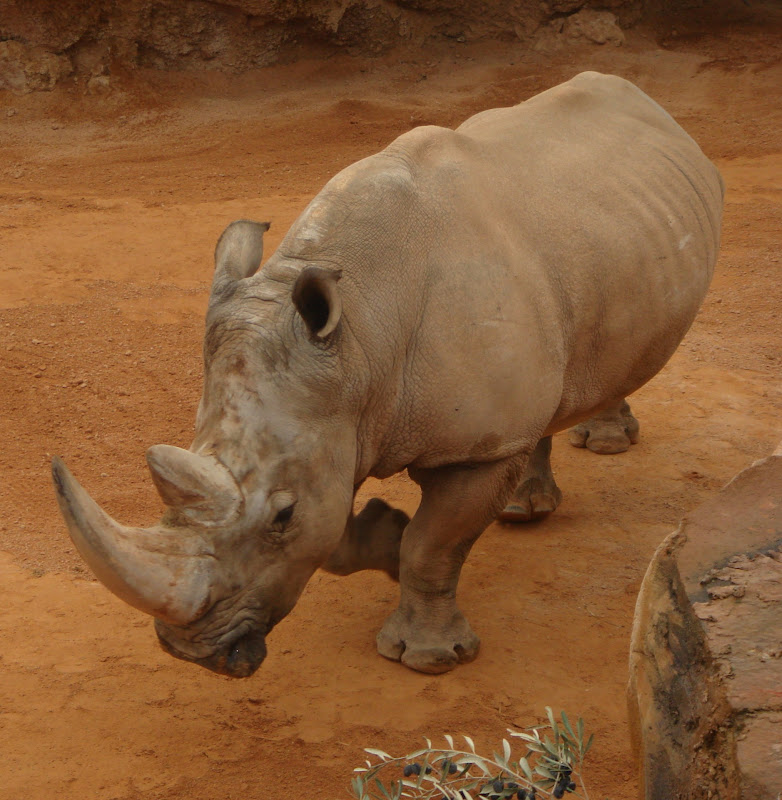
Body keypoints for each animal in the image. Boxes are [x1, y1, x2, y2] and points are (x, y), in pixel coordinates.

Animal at [52, 72, 724, 676]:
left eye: (281, 518)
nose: (189, 654)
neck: (361, 339)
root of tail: (648, 101)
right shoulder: (335, 416)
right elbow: (341, 535)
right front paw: (387, 535)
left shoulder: (468, 448)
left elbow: (433, 546)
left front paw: (428, 656)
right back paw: (522, 510)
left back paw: (604, 446)